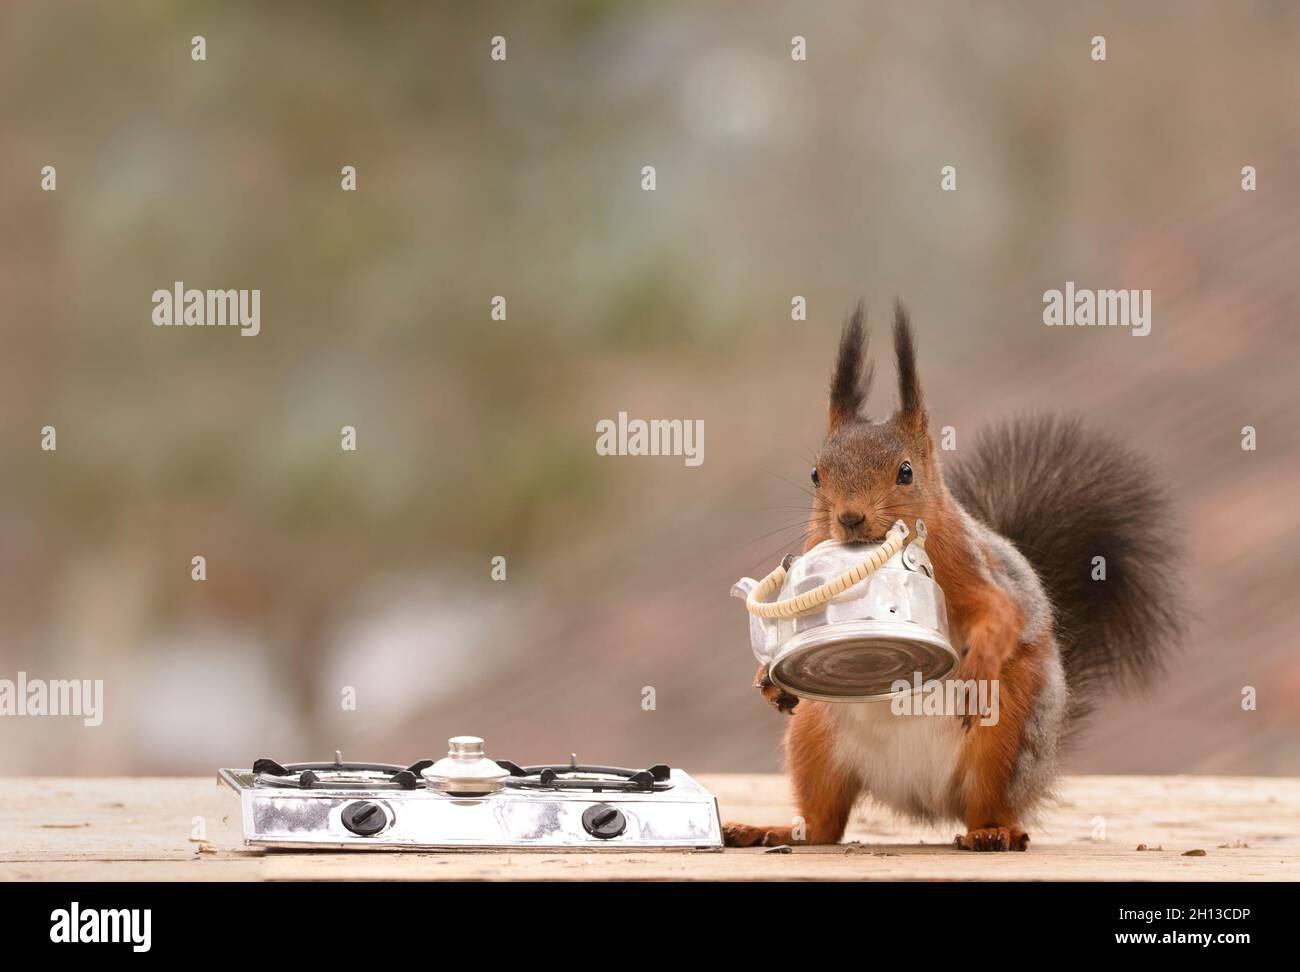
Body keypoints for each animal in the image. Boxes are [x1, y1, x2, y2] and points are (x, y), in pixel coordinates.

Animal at [723, 302, 1185, 852]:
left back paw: (993, 832)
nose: (849, 518)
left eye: (905, 472)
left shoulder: (969, 566)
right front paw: (764, 678)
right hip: (814, 734)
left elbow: (1000, 612)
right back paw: (769, 829)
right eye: (816, 474)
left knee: (987, 802)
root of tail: (921, 799)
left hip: (1007, 736)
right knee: (824, 824)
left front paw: (978, 666)